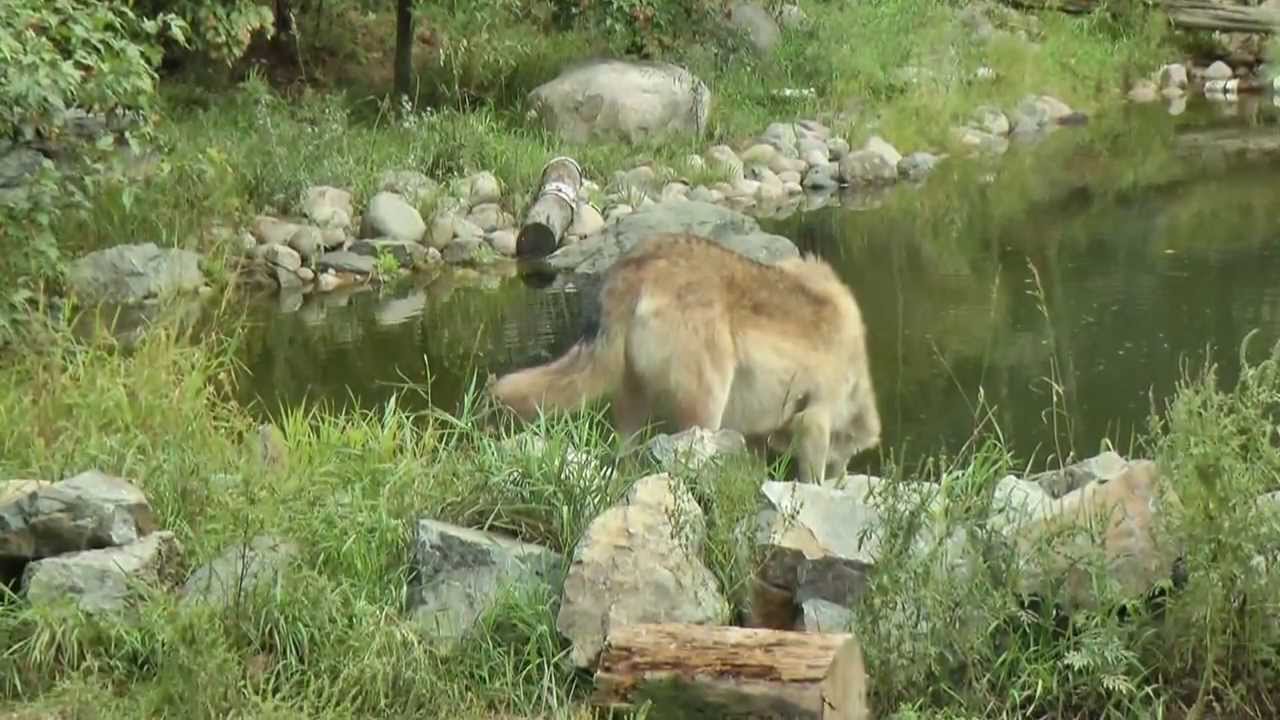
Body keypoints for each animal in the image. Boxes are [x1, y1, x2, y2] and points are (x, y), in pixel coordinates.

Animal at [488, 232, 881, 483]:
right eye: (845, 460)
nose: (843, 480)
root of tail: (637, 265)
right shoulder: (815, 417)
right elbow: (810, 476)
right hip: (707, 405)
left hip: (633, 404)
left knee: (625, 455)